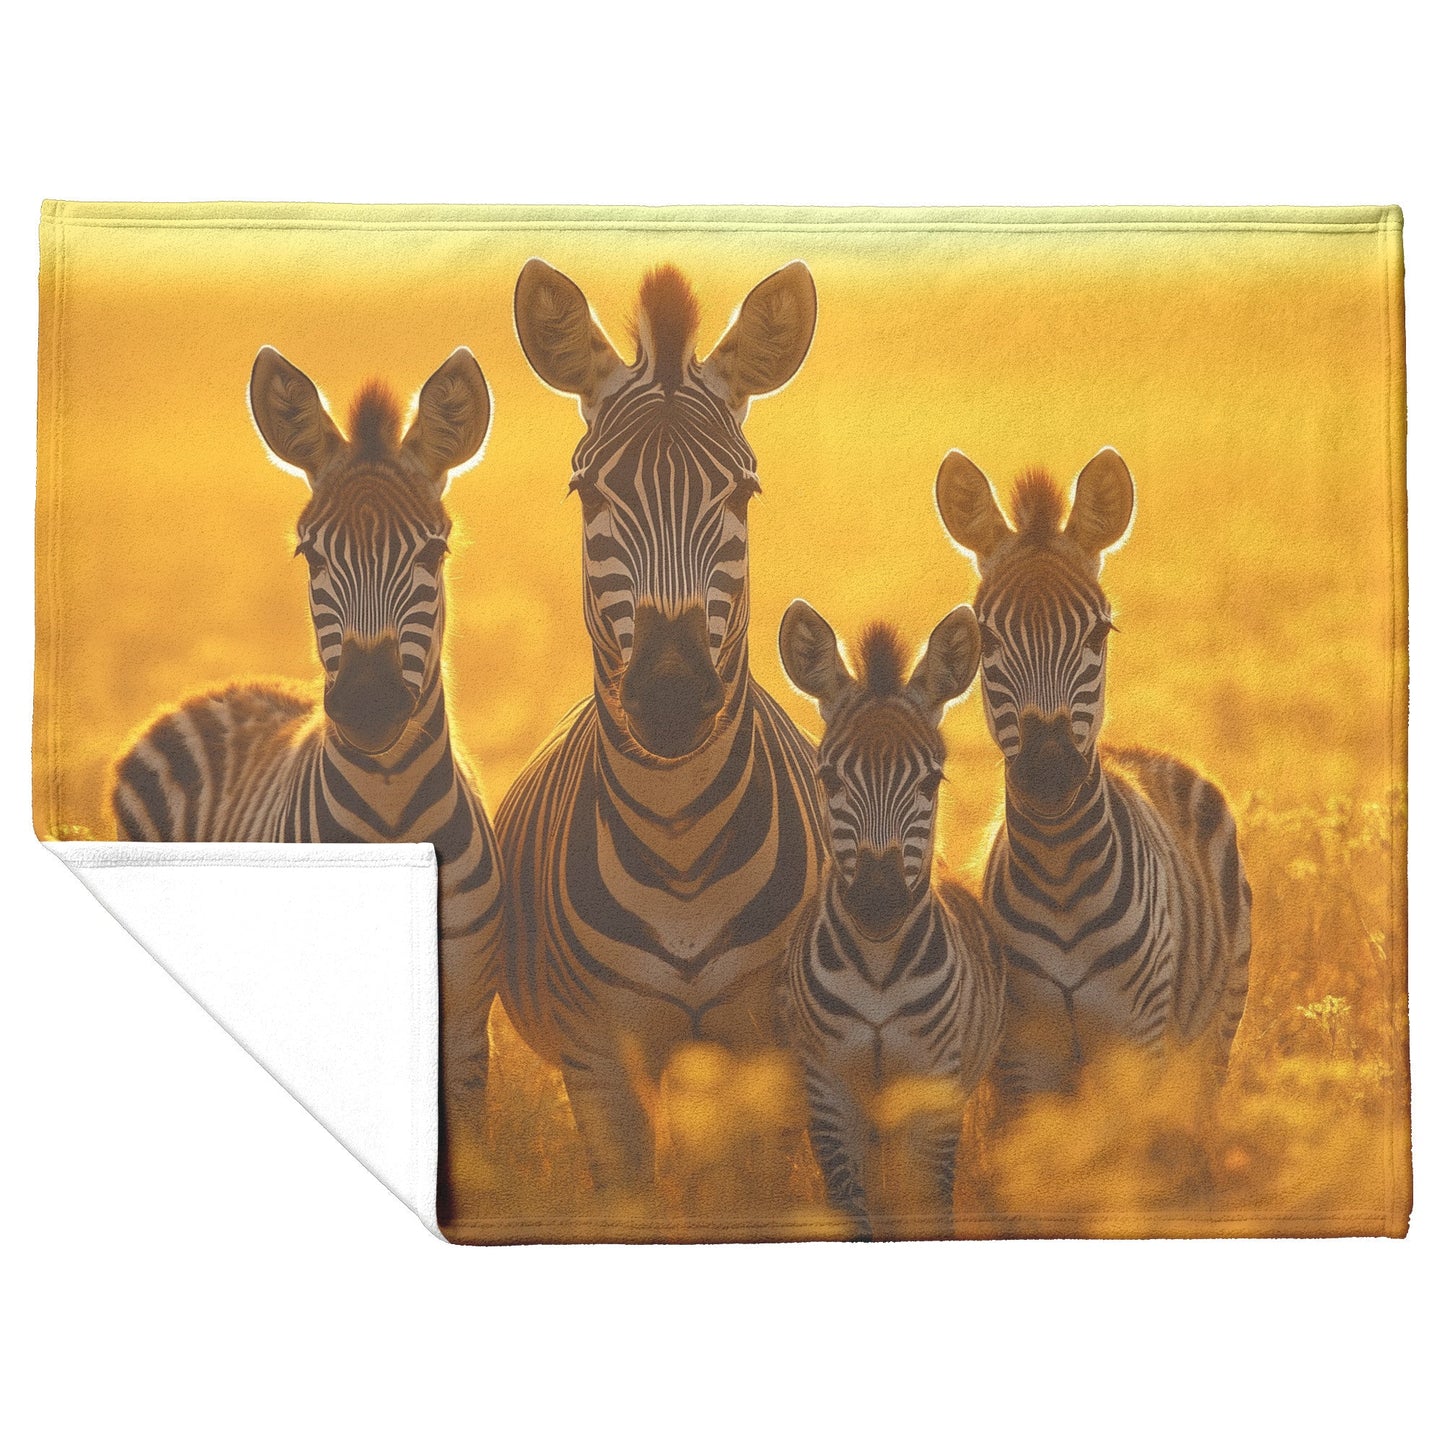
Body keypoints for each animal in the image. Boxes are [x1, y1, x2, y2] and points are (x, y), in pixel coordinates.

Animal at [112, 345, 504, 1222]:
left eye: (433, 553)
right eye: (311, 555)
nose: (368, 704)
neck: (393, 812)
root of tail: (229, 685)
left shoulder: (467, 1015)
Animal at [497, 259, 827, 1192]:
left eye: (741, 491)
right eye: (588, 492)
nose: (674, 694)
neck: (680, 846)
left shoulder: (767, 1054)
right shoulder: (596, 1059)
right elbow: (631, 1198)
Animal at [777, 601, 1006, 1237]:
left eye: (930, 780)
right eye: (829, 778)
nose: (878, 902)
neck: (878, 968)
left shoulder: (931, 1094)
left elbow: (927, 1210)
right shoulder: (829, 1092)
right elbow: (852, 1215)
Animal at [934, 445, 1252, 1098]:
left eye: (1100, 631)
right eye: (987, 638)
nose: (1050, 771)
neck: (1060, 874)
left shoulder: (1139, 1043)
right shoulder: (1022, 1058)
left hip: (1213, 1034)